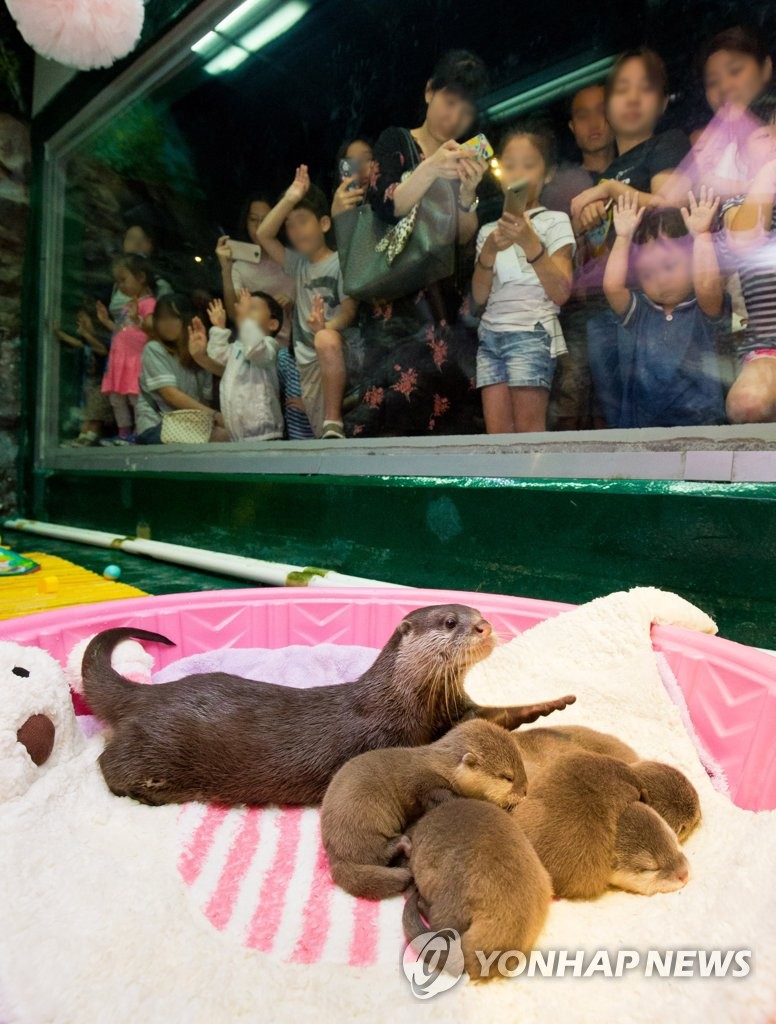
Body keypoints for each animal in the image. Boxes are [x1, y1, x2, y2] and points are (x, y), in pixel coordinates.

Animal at [81, 605, 575, 807]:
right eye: (452, 621)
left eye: (479, 613)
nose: (484, 626)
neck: (404, 700)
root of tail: (151, 692)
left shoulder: (457, 711)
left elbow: (498, 717)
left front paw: (558, 703)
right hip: (157, 742)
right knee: (107, 765)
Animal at [321, 720, 527, 900]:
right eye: (508, 777)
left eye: (522, 765)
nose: (525, 791)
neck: (440, 767)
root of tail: (336, 858)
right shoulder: (426, 785)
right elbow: (445, 799)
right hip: (368, 825)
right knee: (379, 854)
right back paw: (403, 843)